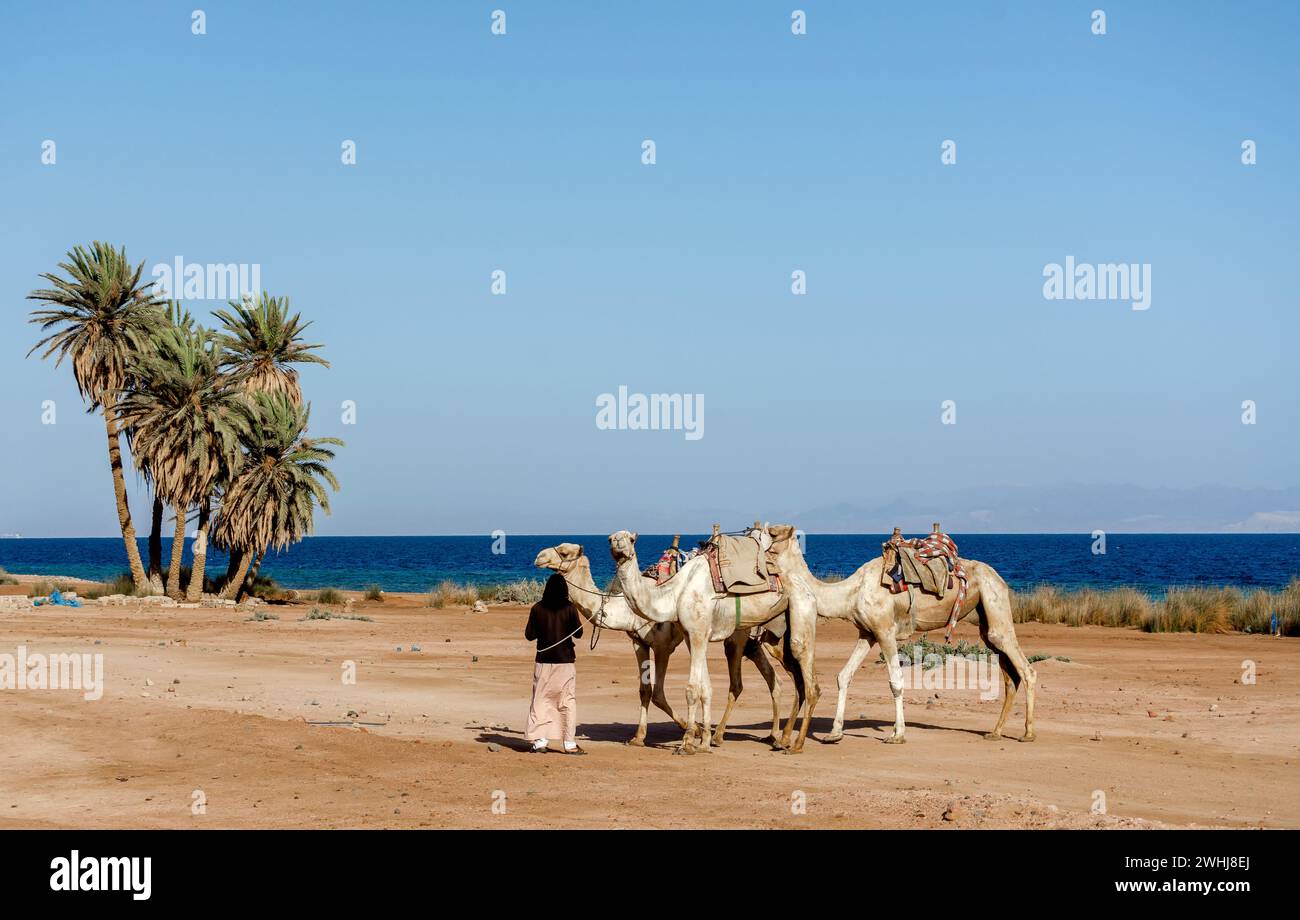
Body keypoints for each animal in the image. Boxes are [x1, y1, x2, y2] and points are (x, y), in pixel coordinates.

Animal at [533, 542, 795, 747]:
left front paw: (693, 728)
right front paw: (638, 737)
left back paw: (722, 735)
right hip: (755, 642)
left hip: (739, 638)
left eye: (564, 552)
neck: (628, 609)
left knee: (746, 682)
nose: (539, 556)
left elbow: (658, 693)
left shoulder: (662, 646)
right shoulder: (638, 643)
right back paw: (771, 735)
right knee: (775, 680)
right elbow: (644, 690)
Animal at [608, 530, 821, 754]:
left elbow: (692, 689)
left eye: (631, 539)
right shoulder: (691, 635)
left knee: (809, 680)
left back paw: (796, 745)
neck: (675, 593)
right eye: (610, 539)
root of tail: (807, 588)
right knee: (797, 680)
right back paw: (782, 739)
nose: (618, 544)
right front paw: (703, 743)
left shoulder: (697, 631)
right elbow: (705, 688)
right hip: (779, 629)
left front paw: (687, 742)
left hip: (802, 607)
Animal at [763, 523, 1036, 744]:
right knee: (1008, 672)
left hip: (995, 602)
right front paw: (835, 733)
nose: (761, 559)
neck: (849, 593)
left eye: (772, 537)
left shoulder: (885, 631)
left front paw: (897, 735)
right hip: (984, 617)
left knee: (1024, 667)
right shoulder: (867, 633)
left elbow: (896, 681)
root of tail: (1000, 579)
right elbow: (844, 675)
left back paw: (1027, 733)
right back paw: (995, 732)